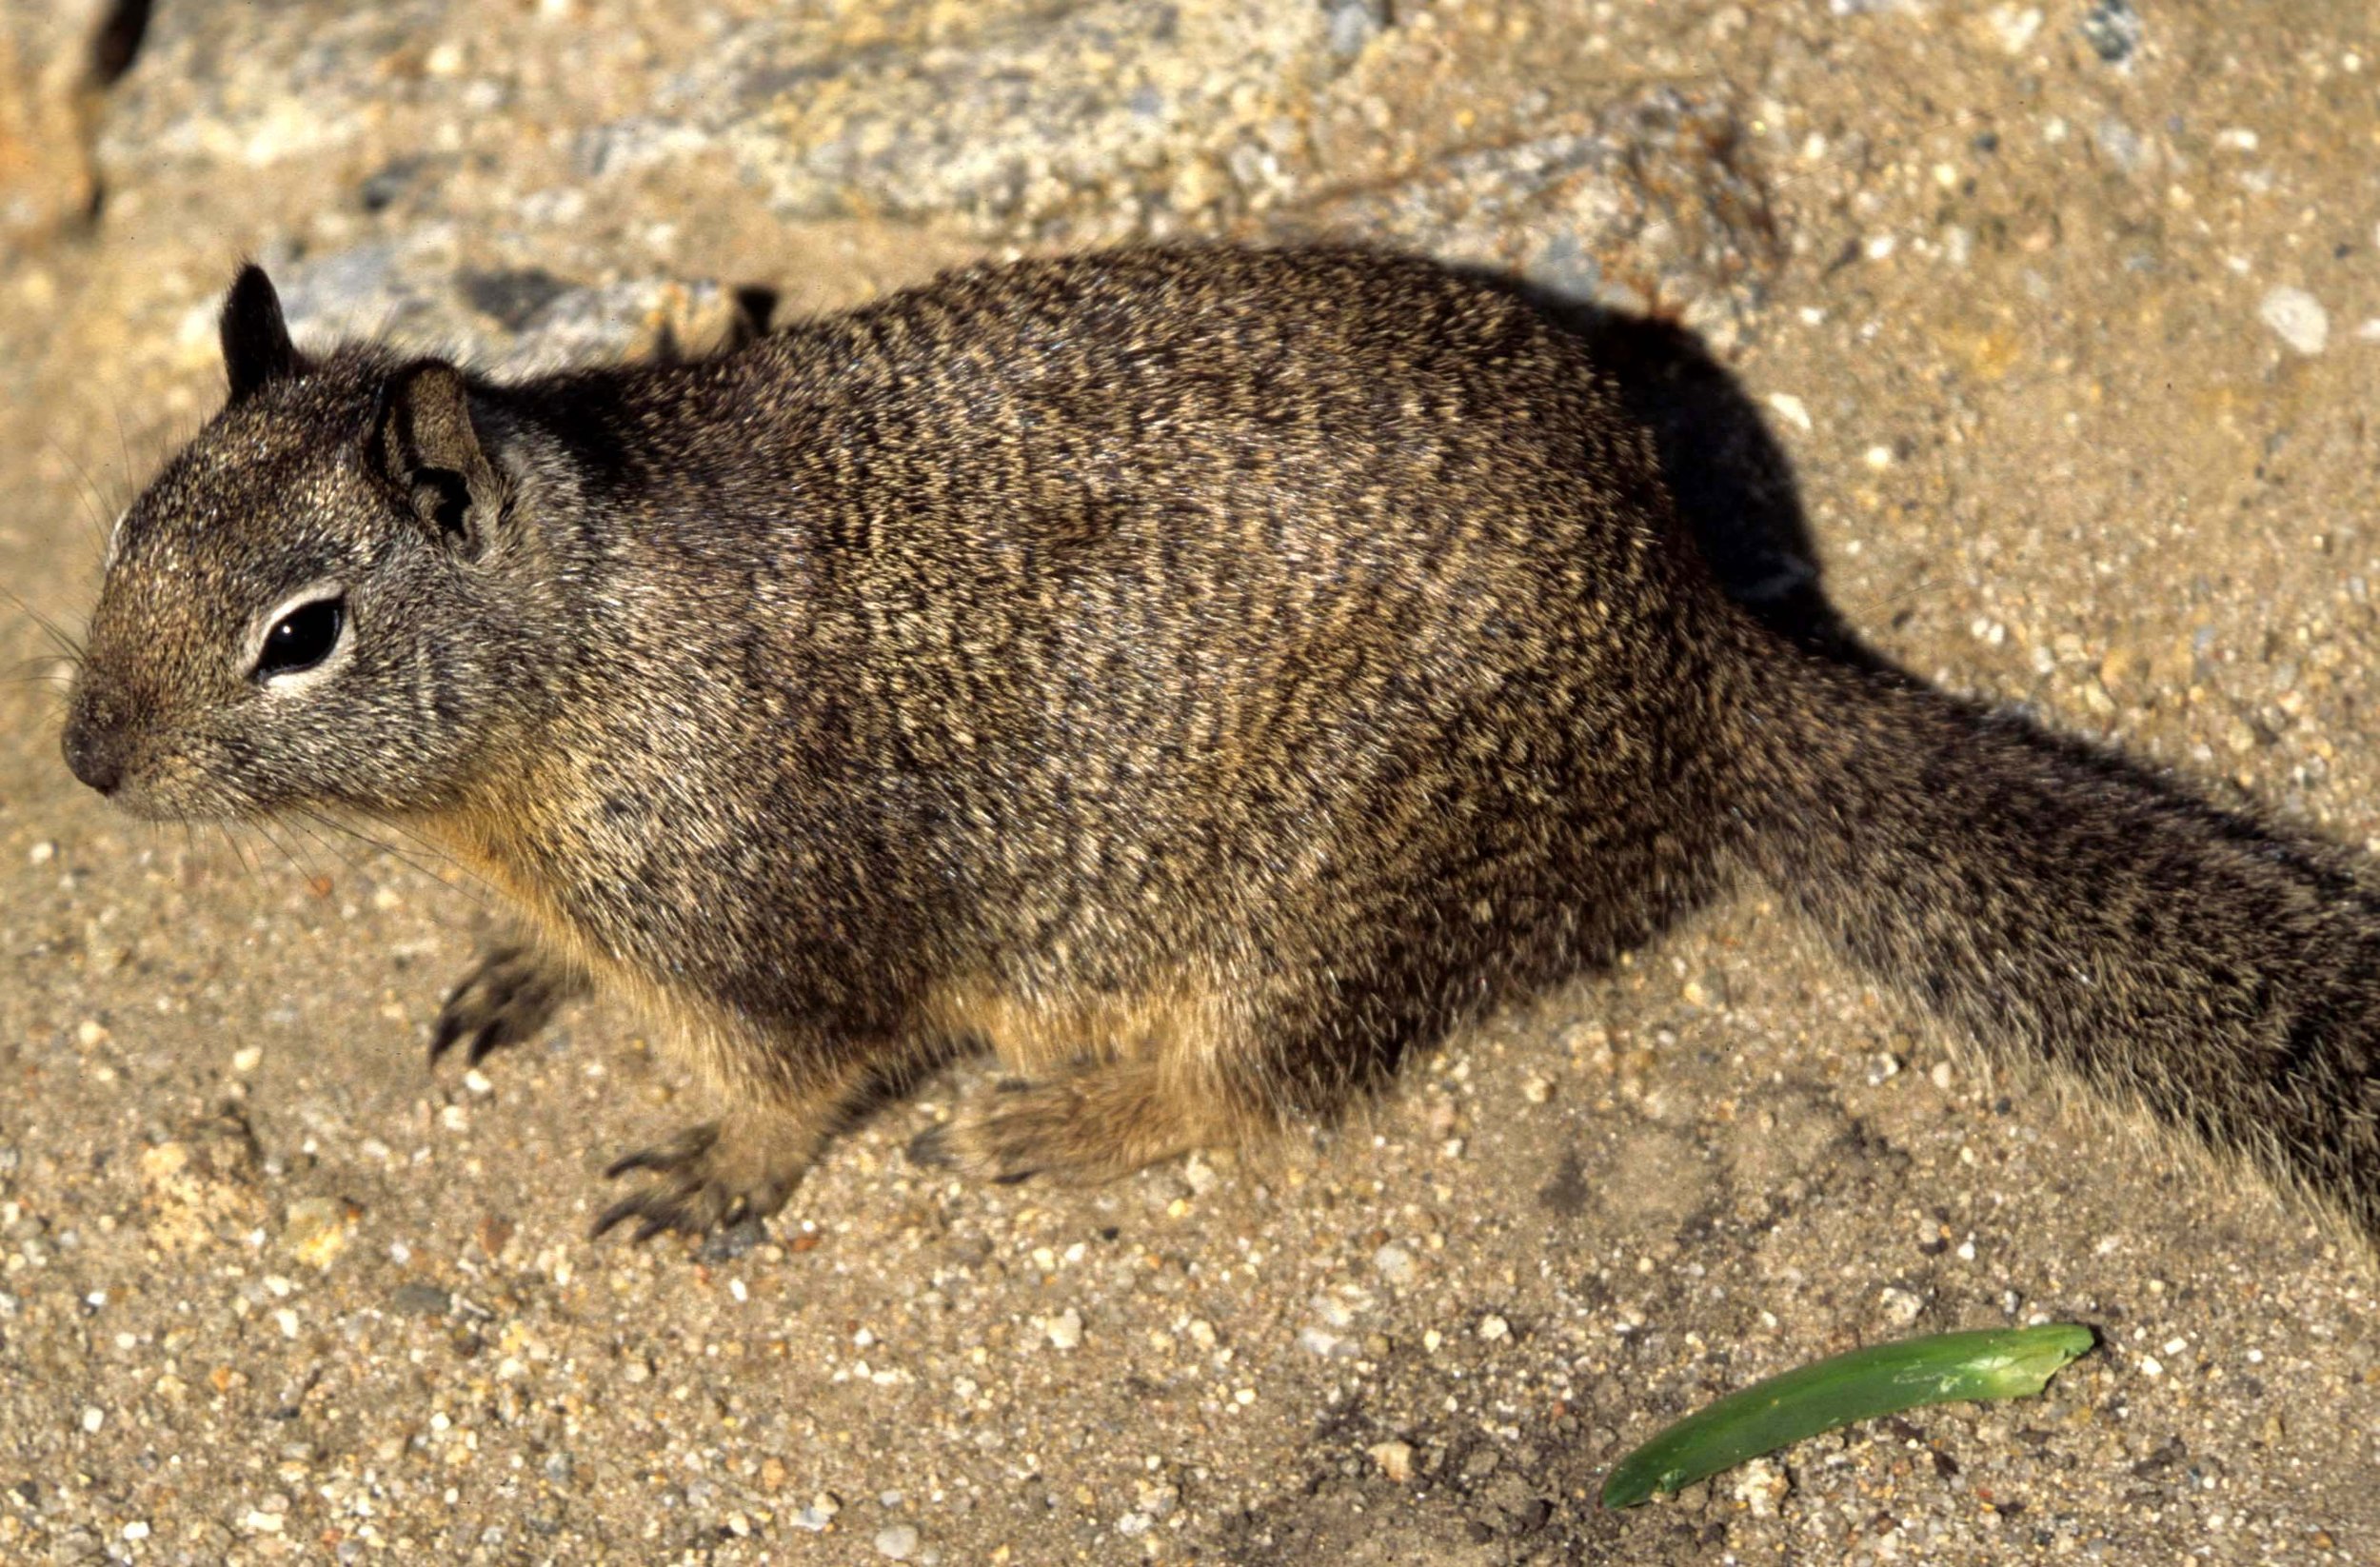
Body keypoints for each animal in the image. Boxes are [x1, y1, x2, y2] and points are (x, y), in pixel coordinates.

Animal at [59, 246, 2380, 1246]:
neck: (581, 645)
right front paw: (510, 977)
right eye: (125, 525)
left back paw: (1062, 1123)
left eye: (301, 635)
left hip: (1325, 903)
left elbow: (799, 1081)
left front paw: (702, 1175)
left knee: (1268, 1083)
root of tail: (1699, 646)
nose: (83, 758)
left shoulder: (771, 925)